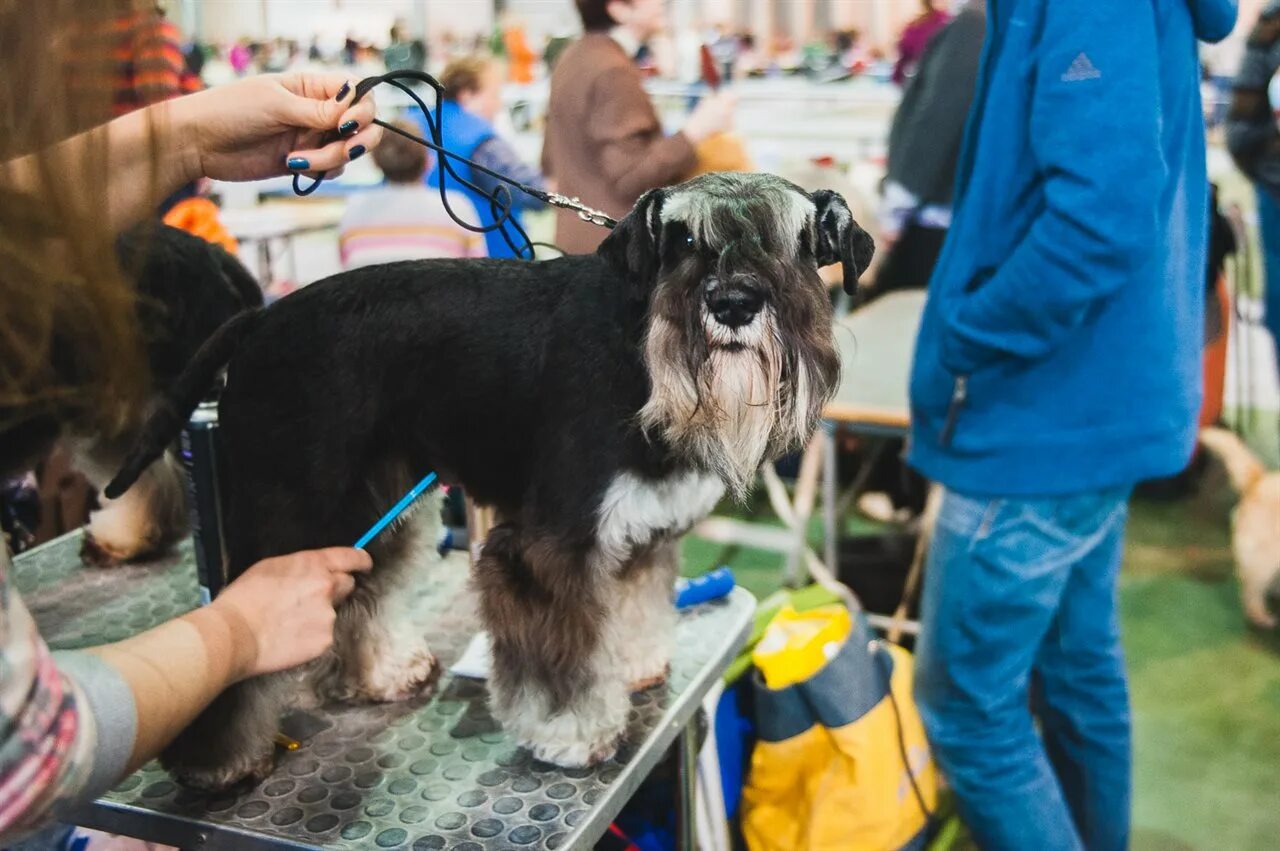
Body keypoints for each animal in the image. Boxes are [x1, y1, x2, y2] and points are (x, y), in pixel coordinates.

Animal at [110, 172, 875, 788]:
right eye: (682, 238)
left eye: (796, 241)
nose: (734, 303)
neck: (638, 349)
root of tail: (261, 317)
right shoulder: (549, 546)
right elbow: (561, 657)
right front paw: (574, 733)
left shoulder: (641, 533)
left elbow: (631, 609)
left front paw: (633, 665)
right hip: (292, 516)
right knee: (235, 626)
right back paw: (215, 760)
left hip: (369, 506)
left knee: (359, 594)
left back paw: (376, 675)